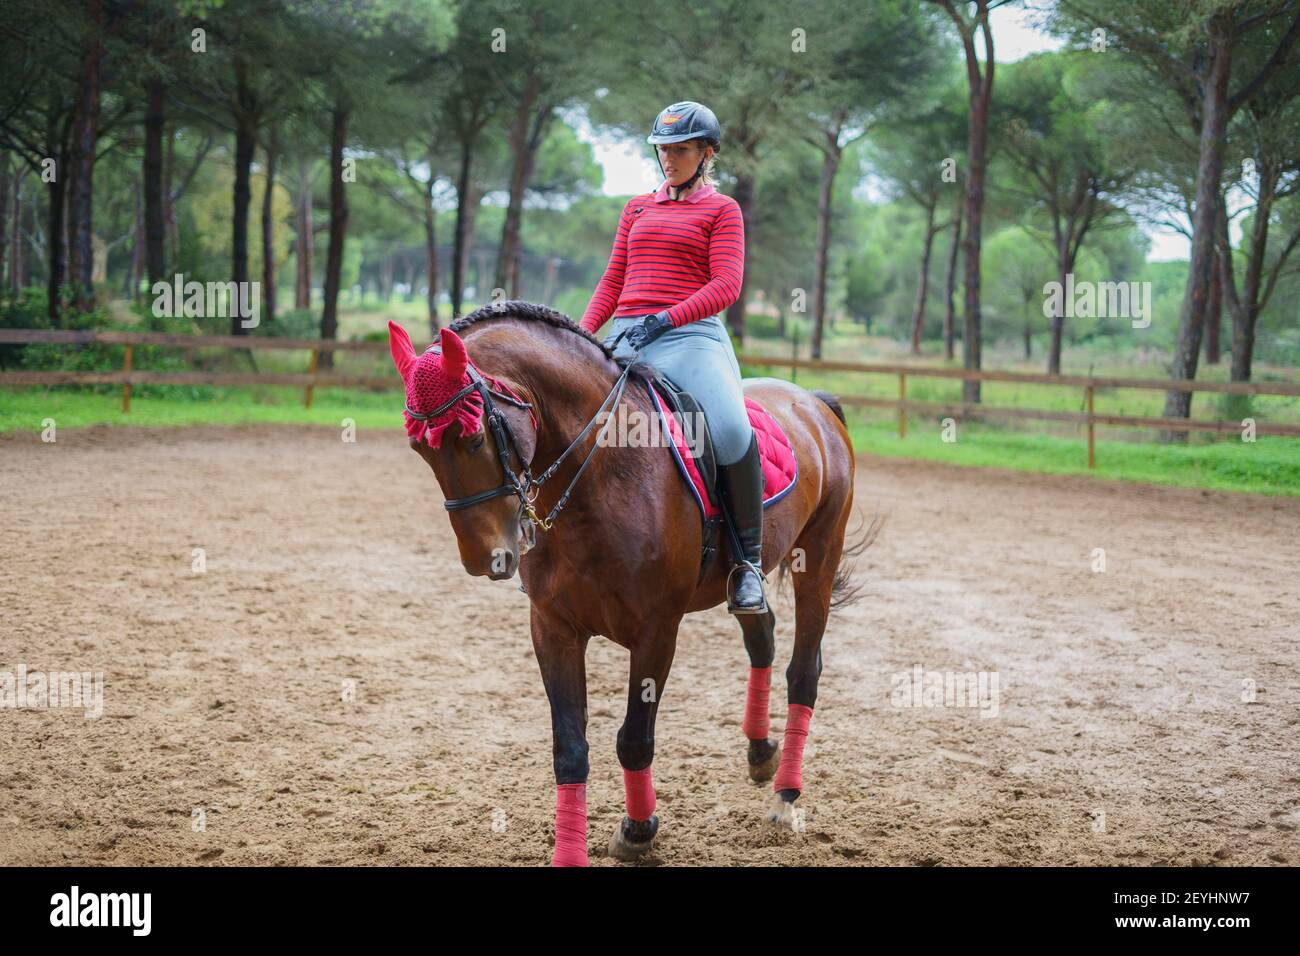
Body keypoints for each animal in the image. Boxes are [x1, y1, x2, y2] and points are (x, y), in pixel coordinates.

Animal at [387, 301, 869, 866]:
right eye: (420, 449)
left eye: (473, 435)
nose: (487, 558)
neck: (600, 471)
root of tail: (812, 401)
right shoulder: (552, 628)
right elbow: (569, 749)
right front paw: (572, 853)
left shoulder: (657, 631)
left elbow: (634, 738)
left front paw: (638, 831)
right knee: (762, 633)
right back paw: (760, 753)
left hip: (818, 556)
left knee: (804, 671)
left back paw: (785, 795)